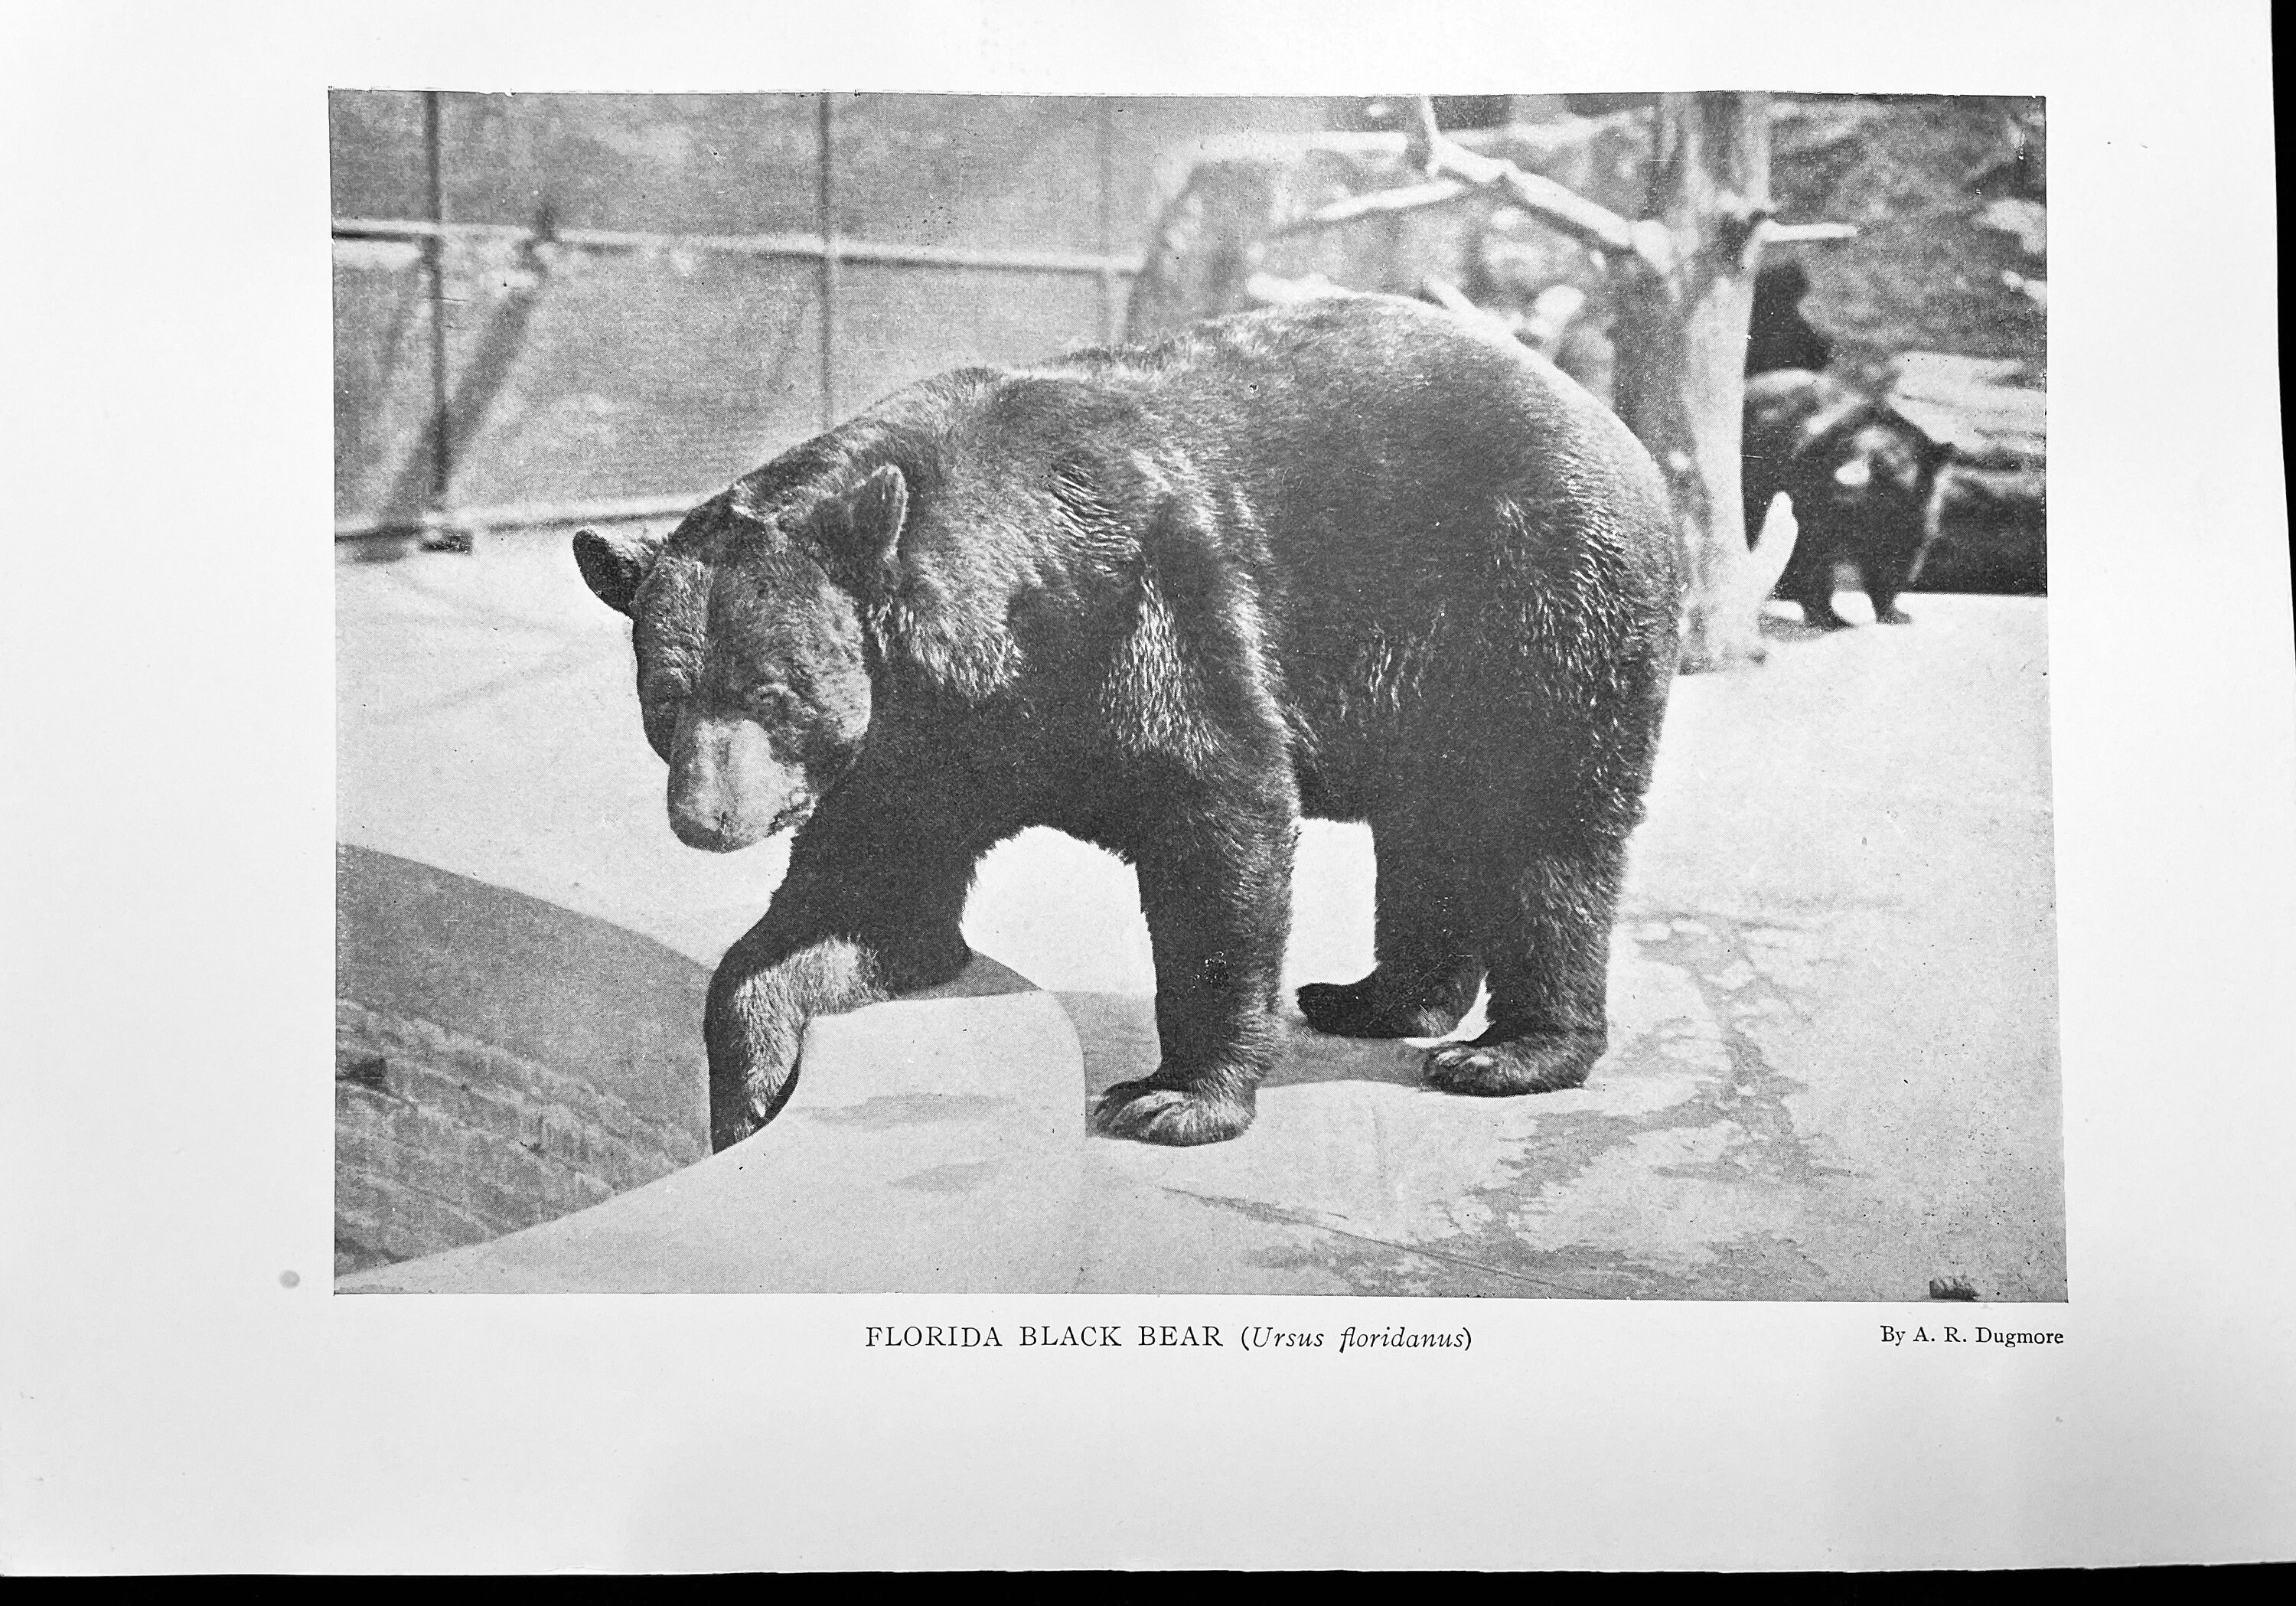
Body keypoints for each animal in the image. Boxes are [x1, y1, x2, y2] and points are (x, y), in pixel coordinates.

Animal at [572, 294, 1682, 1152]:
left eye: (773, 694)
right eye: (666, 700)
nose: (707, 820)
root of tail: (1618, 427)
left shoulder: (1143, 608)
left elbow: (1215, 812)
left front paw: (1173, 1096)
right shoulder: (911, 751)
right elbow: (871, 902)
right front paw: (747, 1093)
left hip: (1543, 610)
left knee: (1551, 834)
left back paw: (1512, 1049)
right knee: (1429, 827)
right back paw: (1377, 996)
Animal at [1742, 367, 1958, 629]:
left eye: (1883, 464)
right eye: (1845, 454)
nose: (1845, 483)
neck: (1862, 511)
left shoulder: (1914, 513)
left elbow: (1897, 554)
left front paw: (1896, 613)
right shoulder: (1804, 493)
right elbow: (1808, 550)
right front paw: (1829, 616)